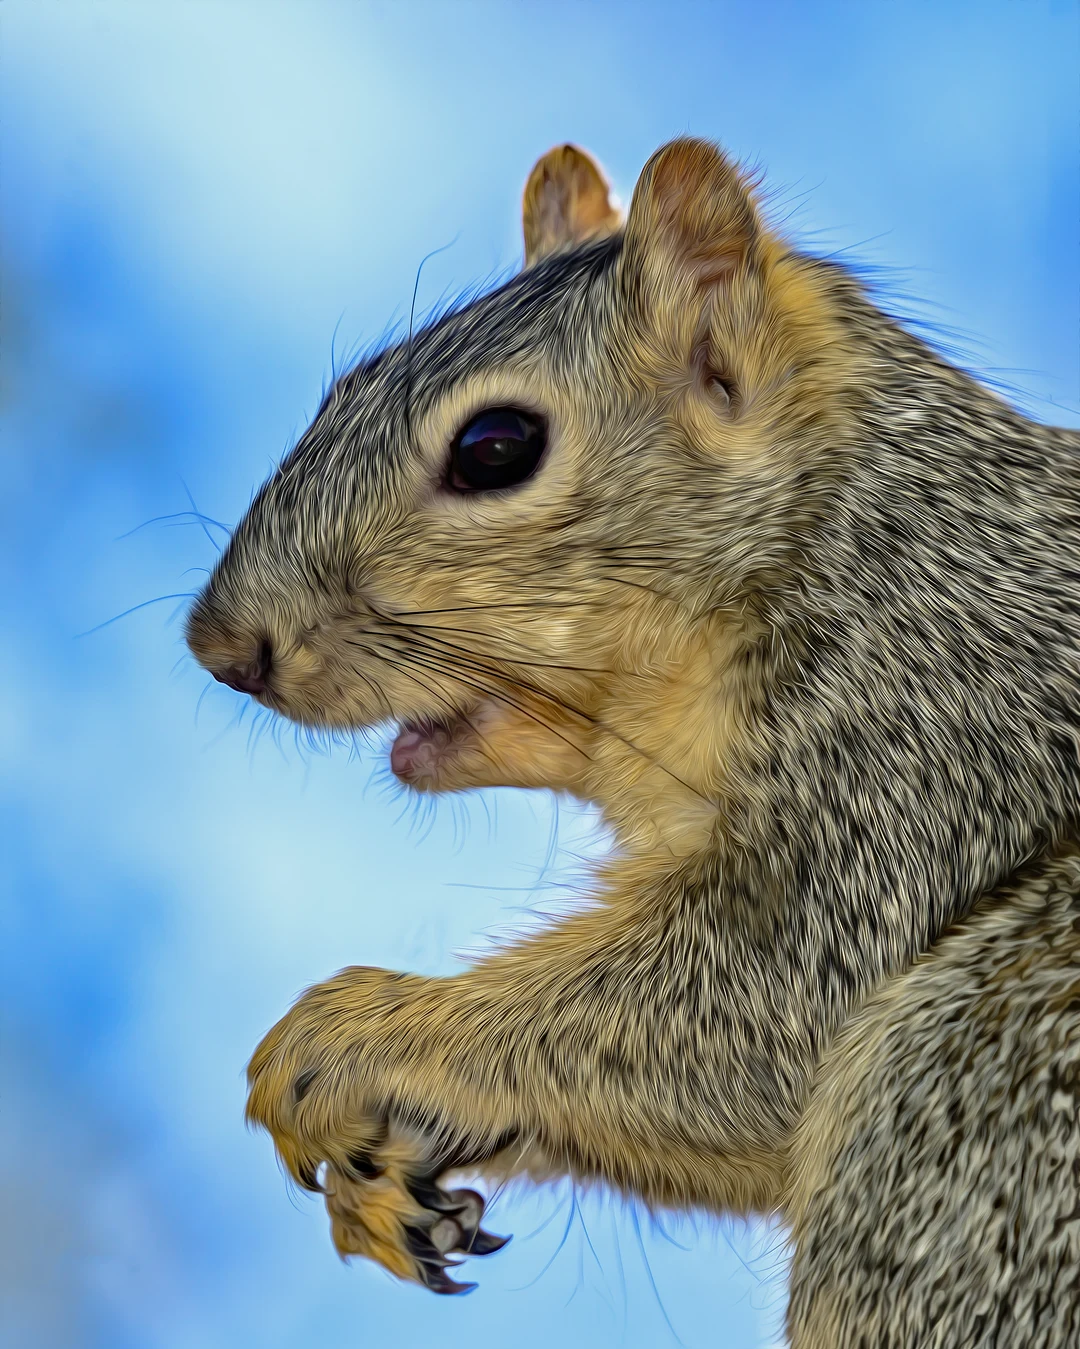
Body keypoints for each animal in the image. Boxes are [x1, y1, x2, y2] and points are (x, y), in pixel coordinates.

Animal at [186, 138, 1080, 1345]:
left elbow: (759, 1002)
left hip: (978, 1073)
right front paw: (379, 1183)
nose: (222, 646)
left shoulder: (929, 730)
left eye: (496, 448)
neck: (829, 538)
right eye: (343, 389)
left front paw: (346, 1036)